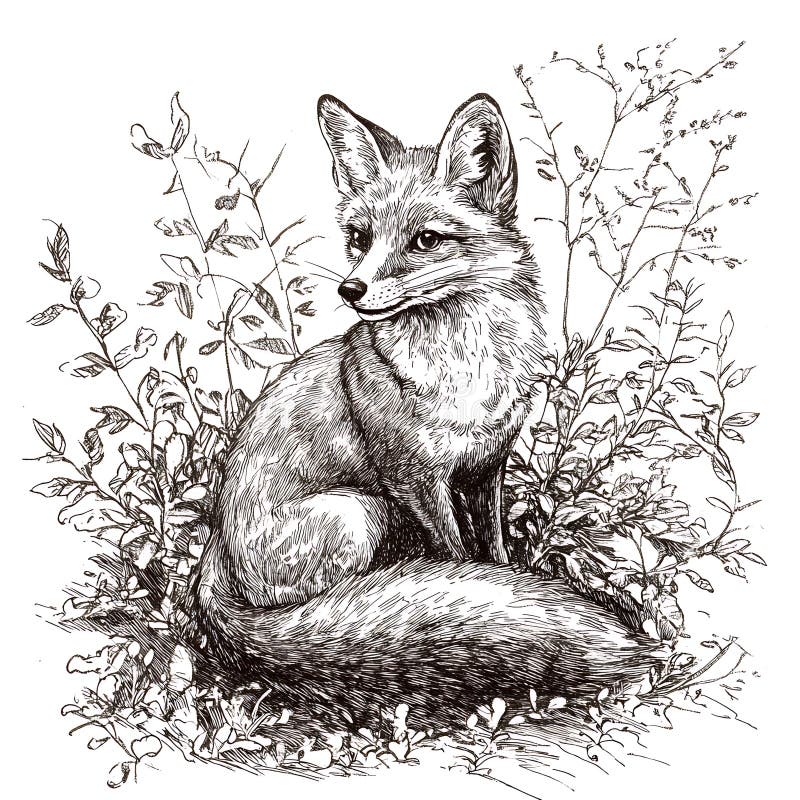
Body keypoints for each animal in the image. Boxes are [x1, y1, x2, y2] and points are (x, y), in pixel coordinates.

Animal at [190, 93, 662, 723]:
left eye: (425, 240)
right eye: (360, 237)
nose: (350, 290)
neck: (466, 377)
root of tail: (216, 553)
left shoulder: (487, 464)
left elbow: (492, 550)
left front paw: (505, 581)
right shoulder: (413, 478)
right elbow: (458, 556)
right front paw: (482, 595)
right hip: (361, 513)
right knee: (317, 603)